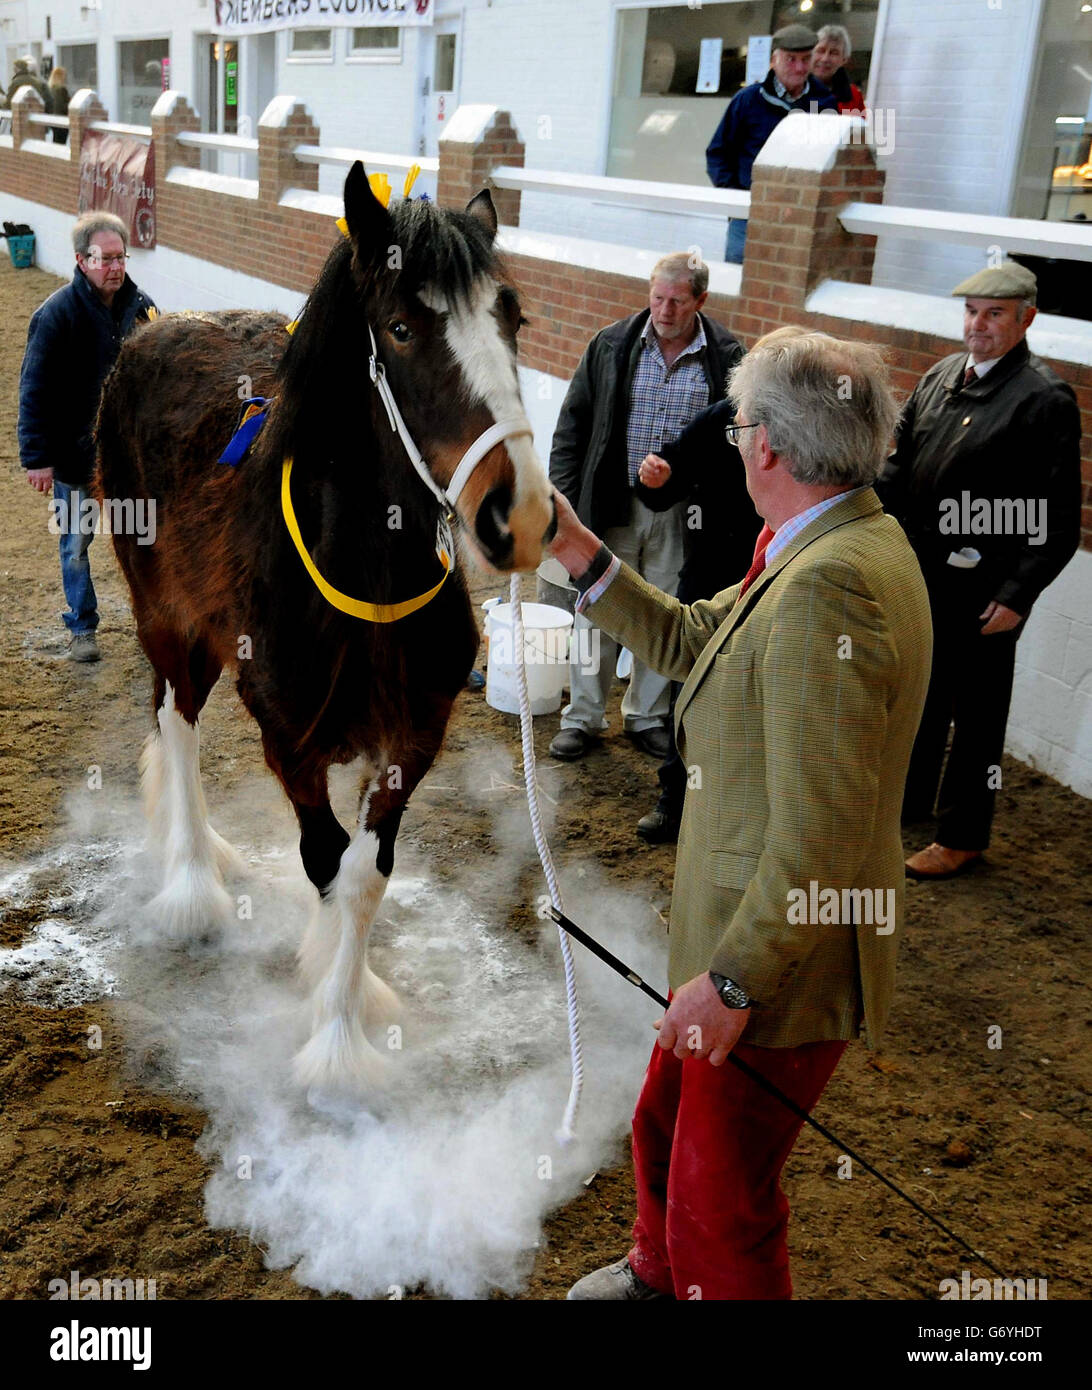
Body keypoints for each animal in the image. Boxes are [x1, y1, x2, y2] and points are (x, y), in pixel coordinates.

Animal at [96, 162, 556, 1098]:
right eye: (403, 328)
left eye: (512, 318)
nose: (520, 514)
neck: (362, 581)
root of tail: (152, 332)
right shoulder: (291, 743)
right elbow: (323, 860)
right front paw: (333, 1046)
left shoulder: (414, 741)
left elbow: (364, 877)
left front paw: (354, 1005)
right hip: (166, 618)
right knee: (176, 723)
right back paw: (193, 883)